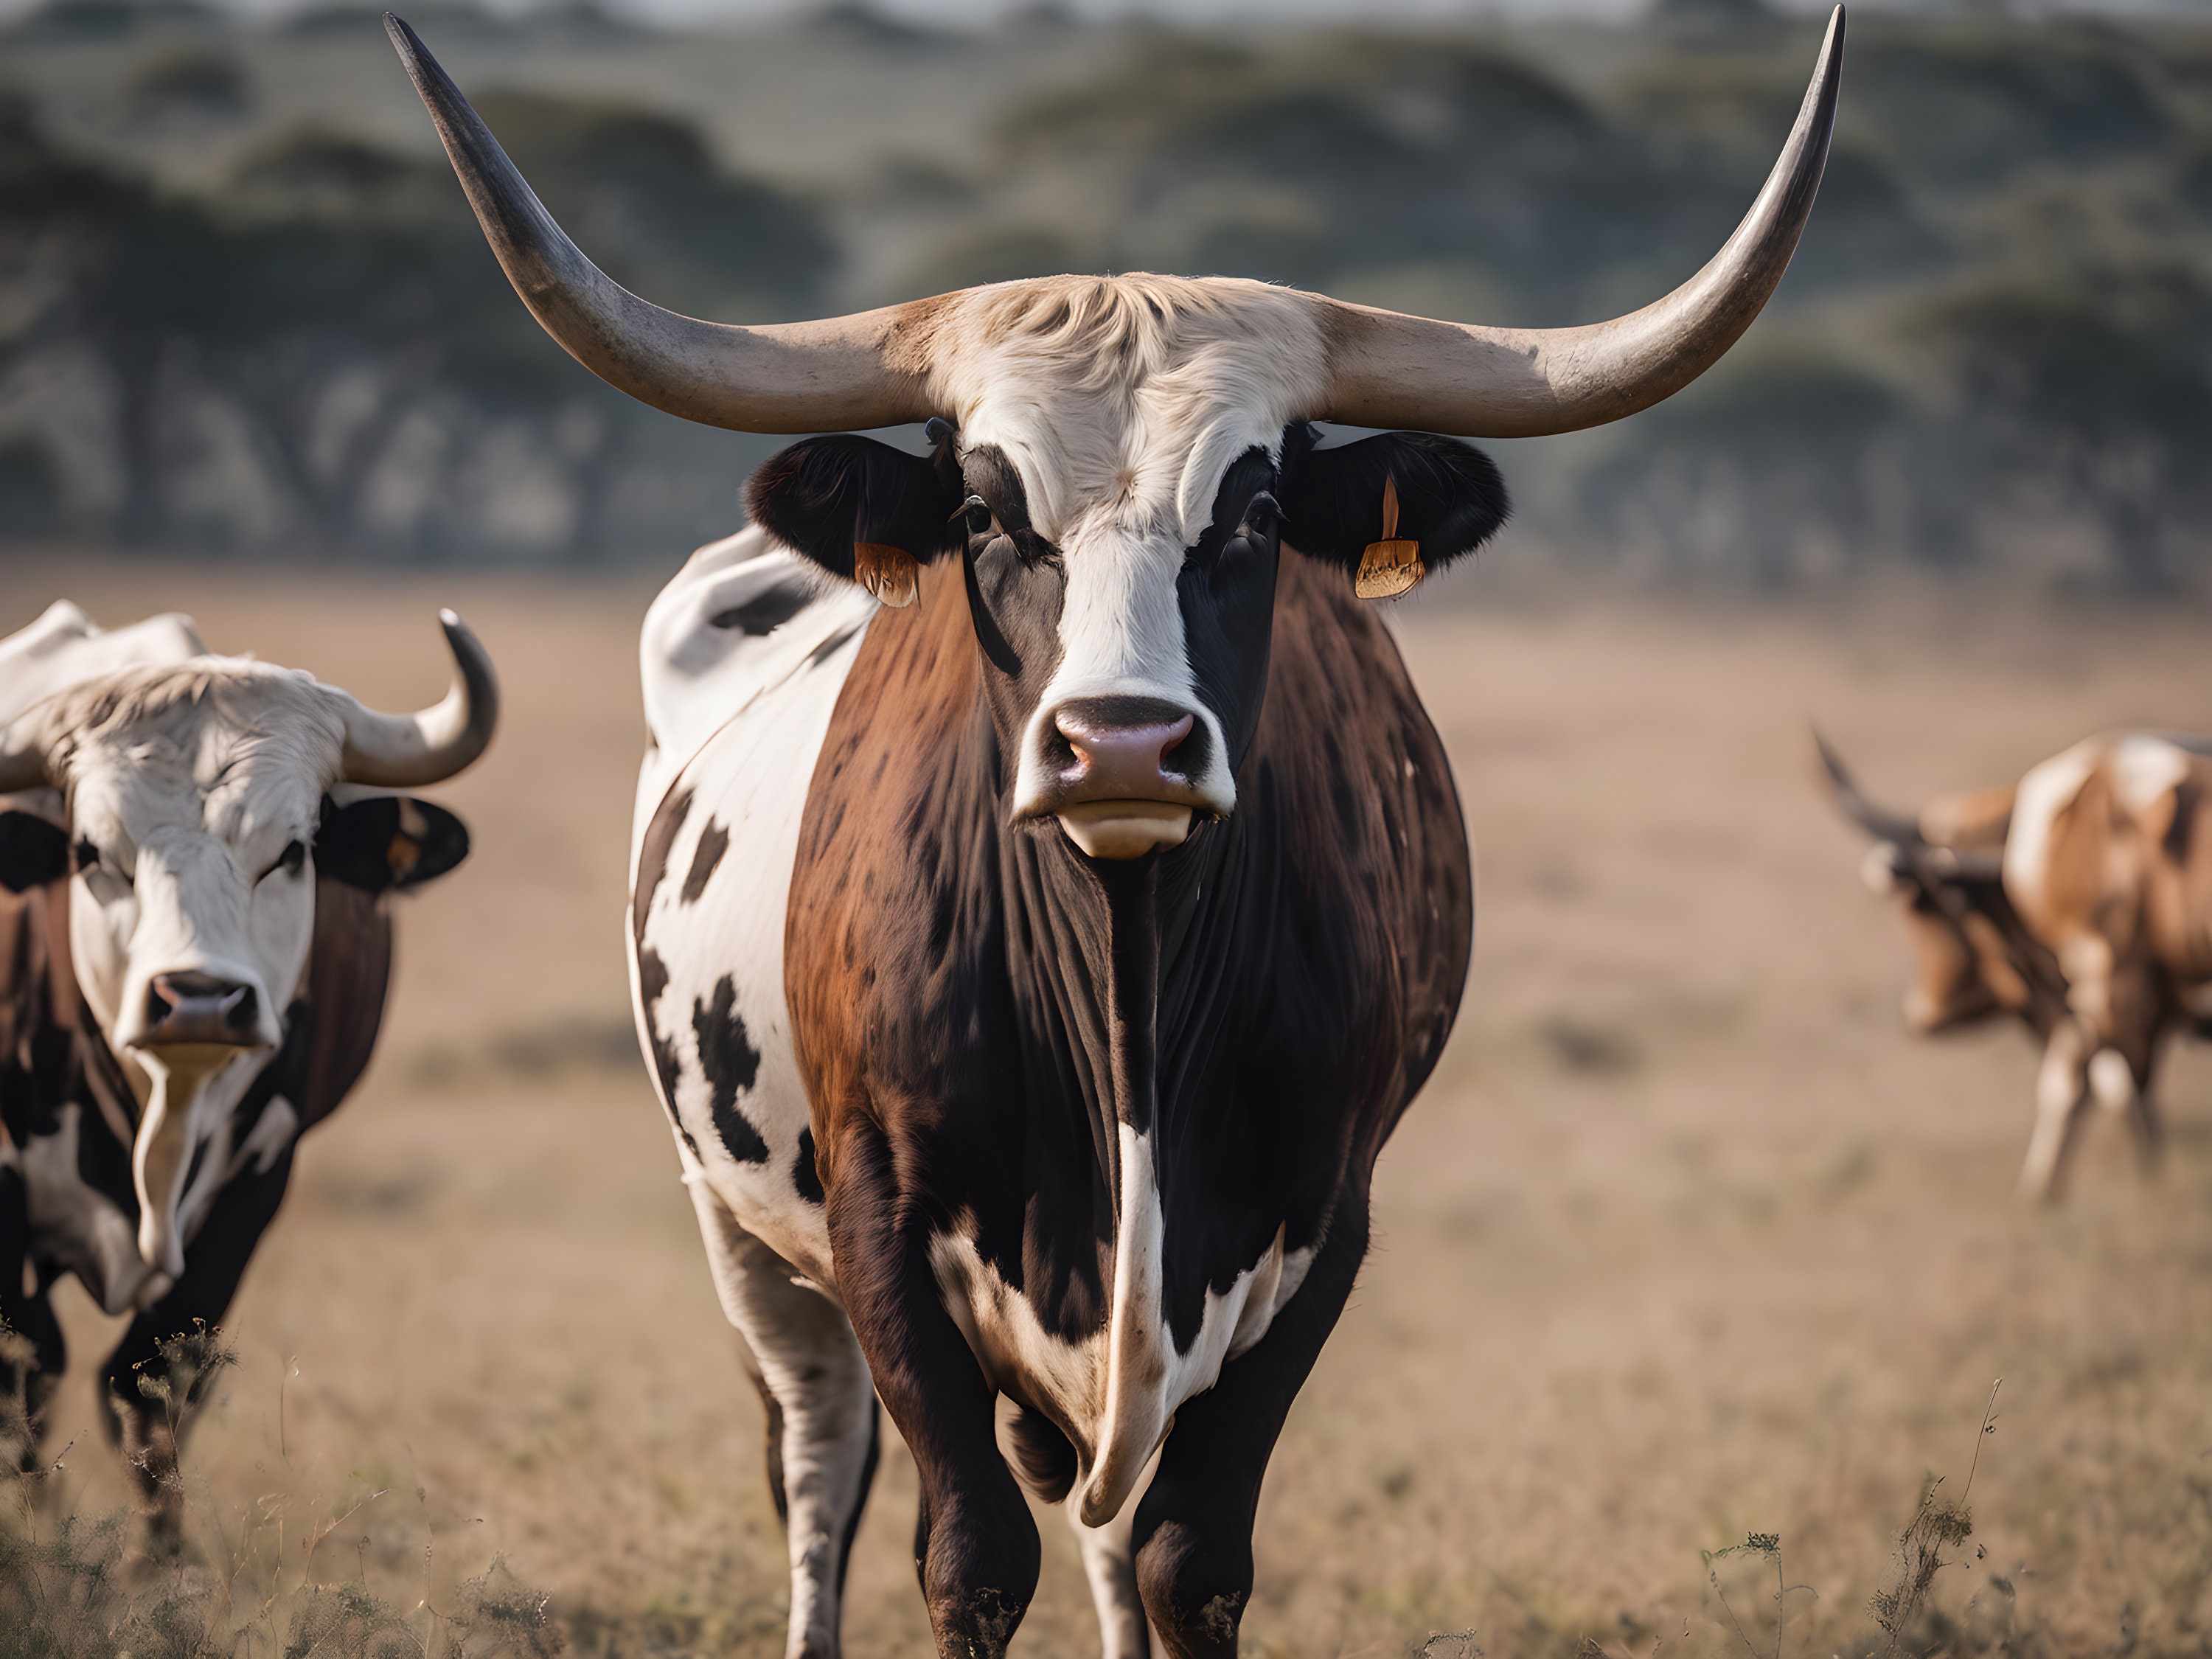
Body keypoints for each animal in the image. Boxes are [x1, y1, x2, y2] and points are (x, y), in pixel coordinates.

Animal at [0, 599, 496, 1538]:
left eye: (293, 850)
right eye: (91, 852)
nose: (197, 1000)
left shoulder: (250, 1198)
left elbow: (152, 1389)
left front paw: (161, 1560)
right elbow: (27, 1381)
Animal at [390, 9, 1844, 1655]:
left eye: (1258, 509)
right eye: (980, 508)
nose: (1125, 744)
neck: (1126, 1008)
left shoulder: (1317, 1227)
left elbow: (1182, 1558)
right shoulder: (879, 1221)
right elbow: (970, 1552)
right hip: (744, 1230)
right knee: (819, 1468)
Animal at [1821, 730, 2212, 1202]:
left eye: (1927, 910)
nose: (1918, 1014)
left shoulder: (2111, 983)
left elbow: (2084, 1086)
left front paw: (2040, 1194)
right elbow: (2123, 1089)